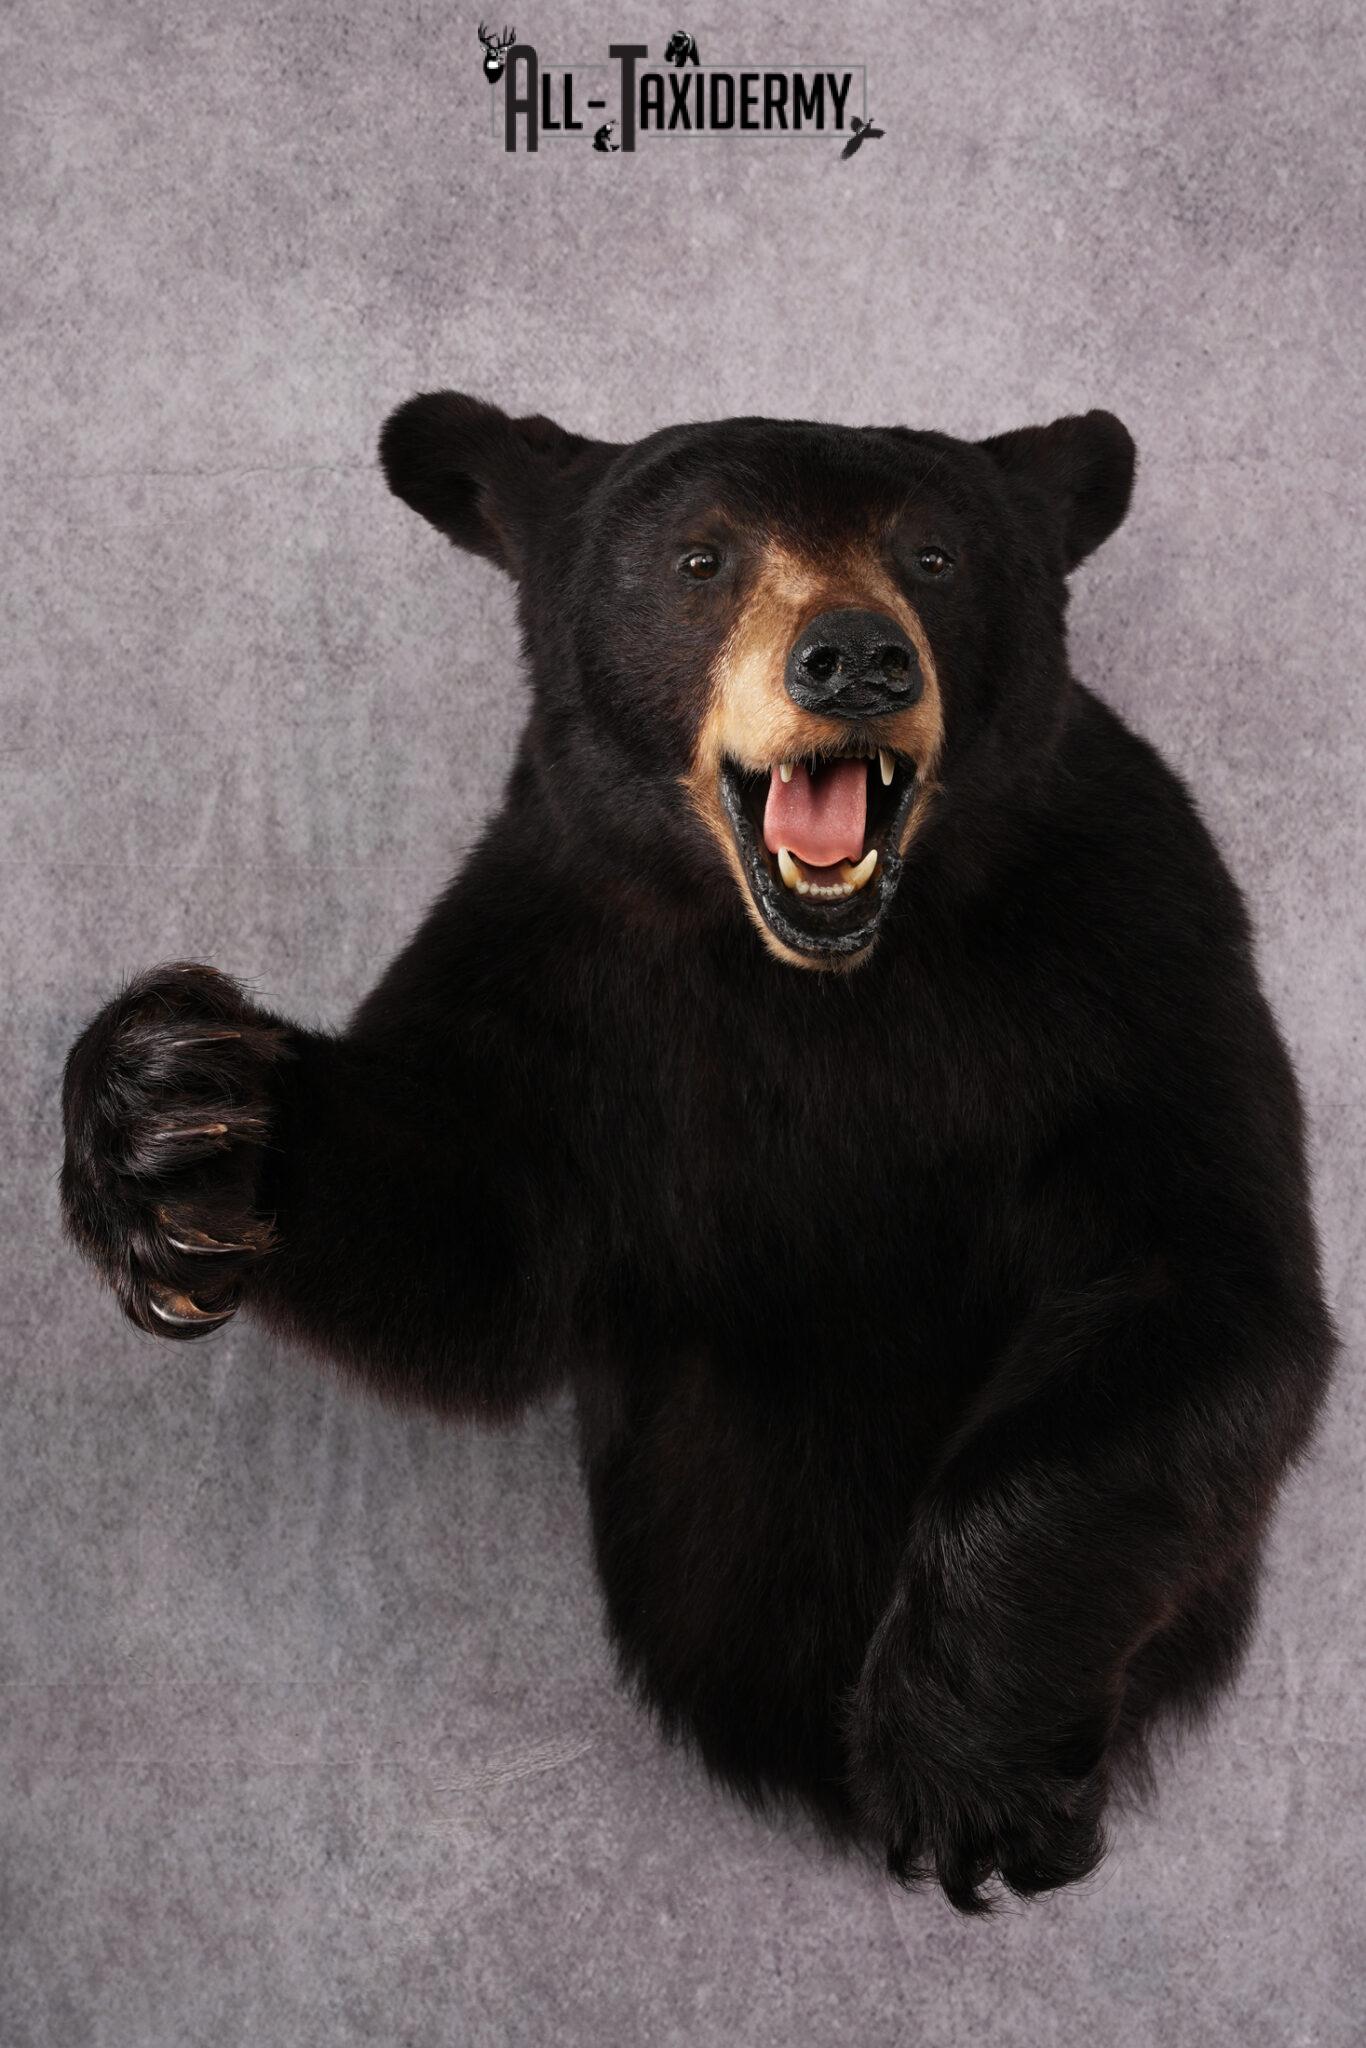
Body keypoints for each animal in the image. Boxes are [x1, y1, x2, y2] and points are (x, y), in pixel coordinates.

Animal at [60, 396, 1336, 1913]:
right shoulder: (561, 960)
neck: (820, 980)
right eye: (699, 559)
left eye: (933, 551)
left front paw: (966, 1770)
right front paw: (180, 1115)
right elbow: (476, 1245)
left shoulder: (1132, 940)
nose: (854, 656)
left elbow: (1192, 1283)